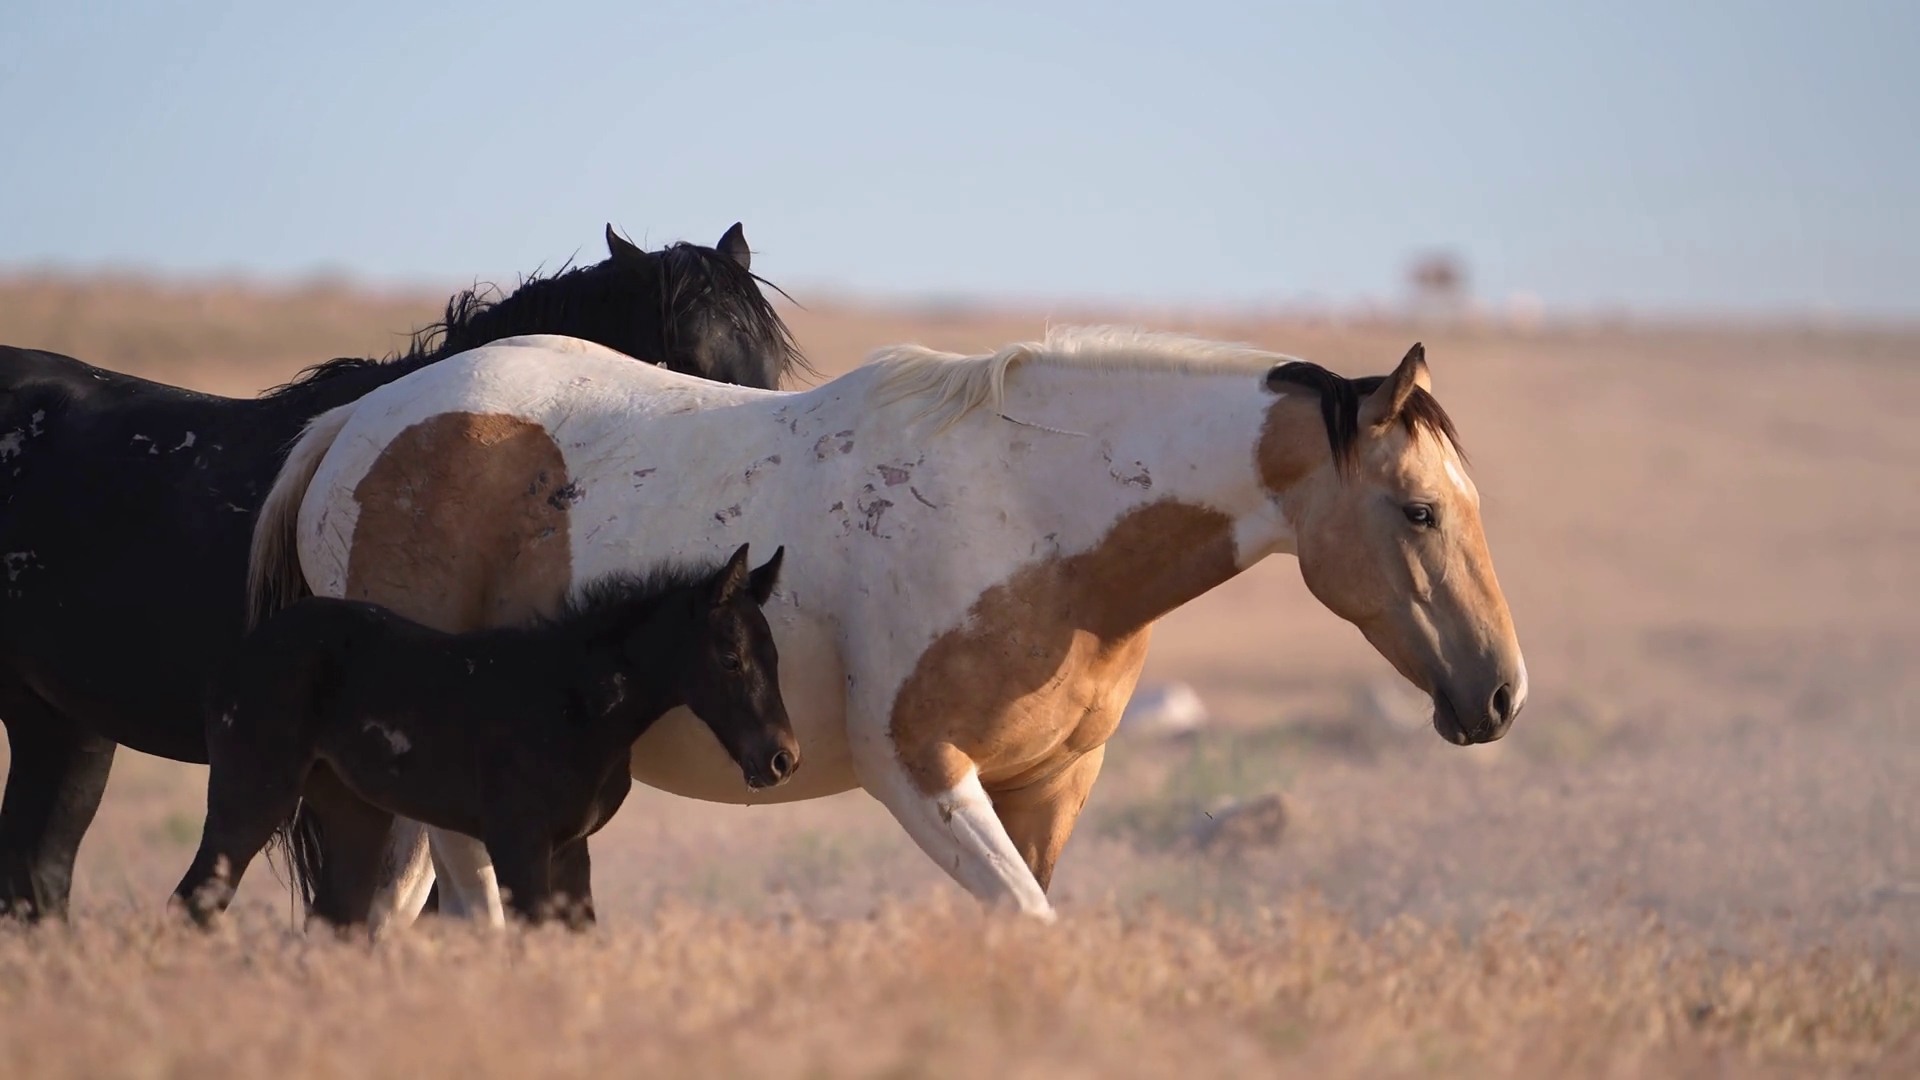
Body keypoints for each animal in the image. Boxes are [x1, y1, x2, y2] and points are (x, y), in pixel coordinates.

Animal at [174, 543, 794, 929]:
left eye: (775, 657)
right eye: (731, 659)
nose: (782, 758)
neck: (571, 700)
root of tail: (238, 657)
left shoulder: (570, 850)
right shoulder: (518, 840)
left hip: (355, 811)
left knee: (334, 920)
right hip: (252, 794)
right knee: (194, 902)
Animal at [249, 326, 1528, 925]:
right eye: (1419, 510)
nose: (1501, 693)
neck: (1033, 516)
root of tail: (360, 422)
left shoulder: (1047, 788)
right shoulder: (921, 771)